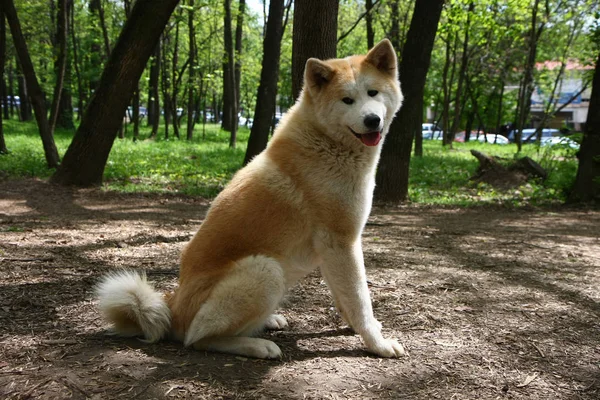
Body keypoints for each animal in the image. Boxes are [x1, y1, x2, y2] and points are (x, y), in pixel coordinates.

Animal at [97, 39, 404, 360]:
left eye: (373, 93)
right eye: (347, 100)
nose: (372, 120)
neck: (325, 142)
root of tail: (173, 308)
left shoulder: (333, 250)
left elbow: (345, 298)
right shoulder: (341, 242)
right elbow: (360, 300)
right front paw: (377, 343)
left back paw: (268, 321)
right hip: (266, 270)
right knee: (197, 338)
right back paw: (257, 345)